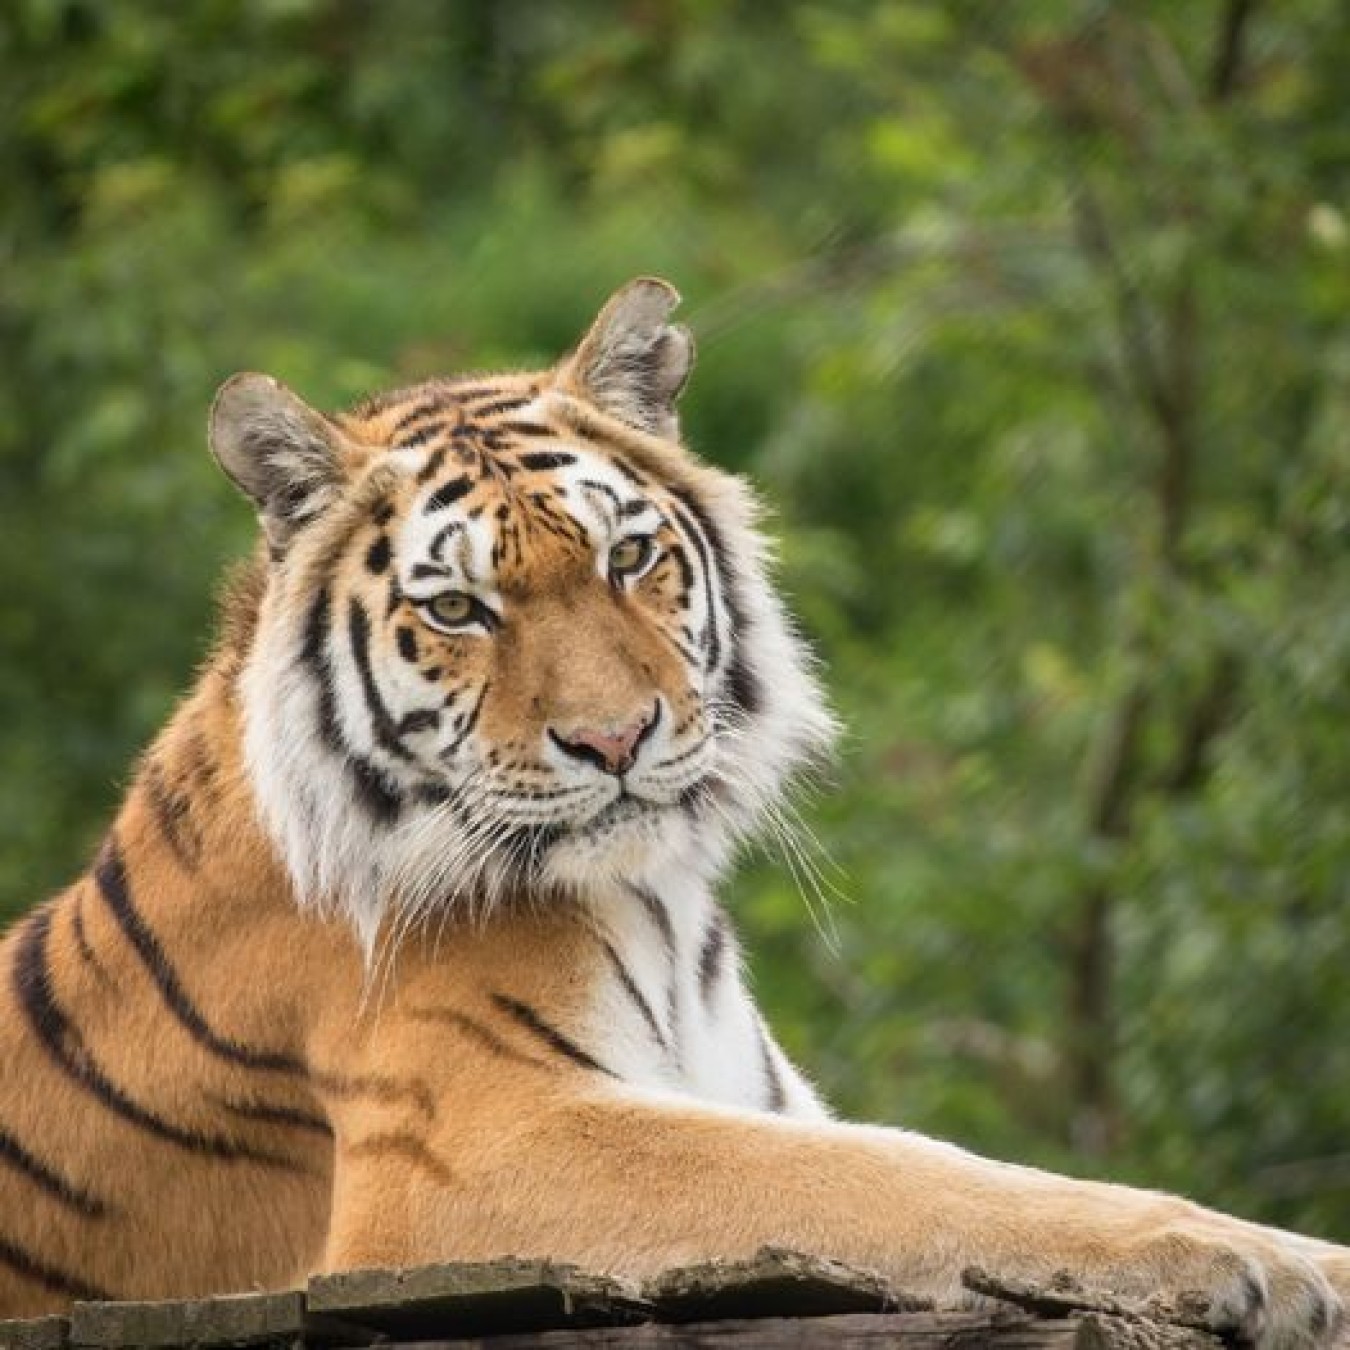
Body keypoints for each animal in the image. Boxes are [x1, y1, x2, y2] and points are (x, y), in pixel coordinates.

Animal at [0, 278, 1346, 1345]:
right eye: (460, 611)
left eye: (627, 558)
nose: (614, 740)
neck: (654, 898)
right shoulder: (474, 1155)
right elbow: (904, 1181)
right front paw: (1249, 1260)